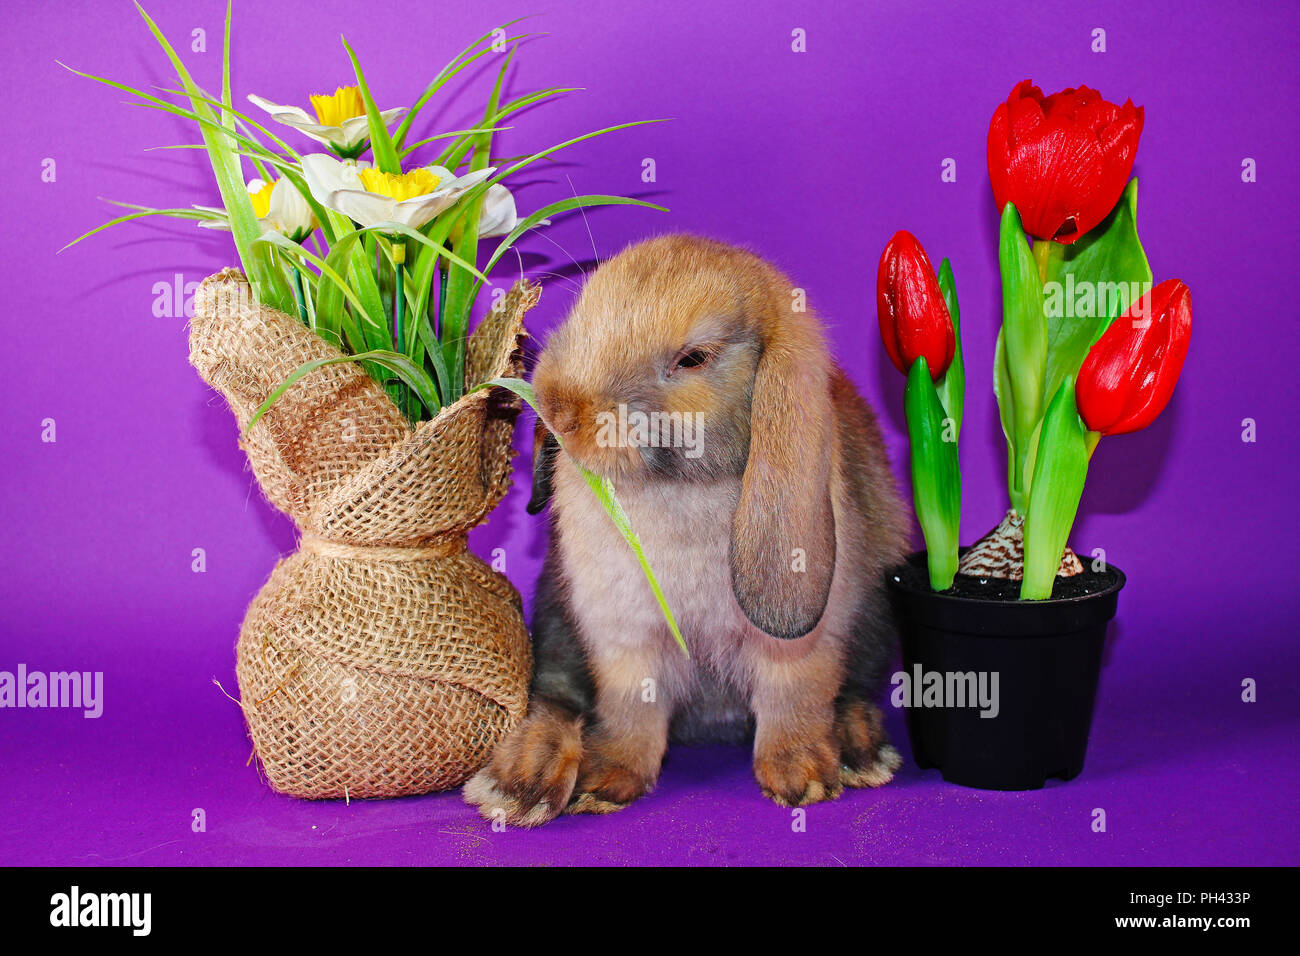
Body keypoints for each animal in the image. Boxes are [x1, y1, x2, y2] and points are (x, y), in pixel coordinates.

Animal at [463, 234, 909, 826]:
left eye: (694, 357)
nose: (562, 409)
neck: (677, 488)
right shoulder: (625, 642)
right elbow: (631, 713)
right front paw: (606, 783)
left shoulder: (800, 651)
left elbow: (793, 703)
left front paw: (801, 779)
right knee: (555, 699)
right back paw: (523, 783)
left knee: (856, 691)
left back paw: (860, 752)